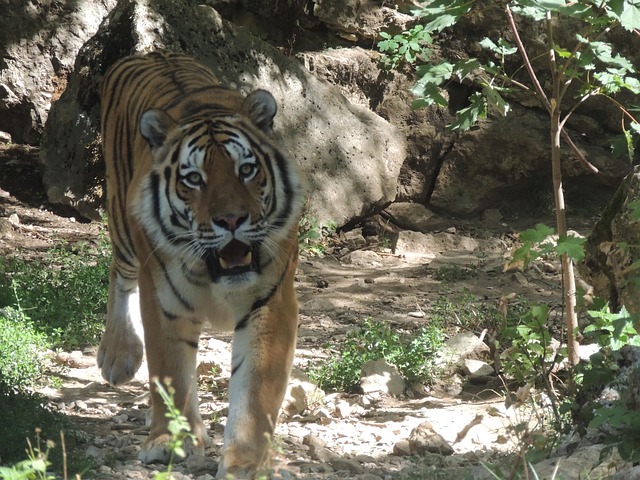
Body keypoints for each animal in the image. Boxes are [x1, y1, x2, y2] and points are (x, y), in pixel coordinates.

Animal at [97, 50, 304, 478]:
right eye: (193, 179)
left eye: (247, 170)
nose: (231, 220)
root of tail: (150, 53)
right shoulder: (162, 301)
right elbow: (170, 370)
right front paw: (169, 441)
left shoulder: (271, 303)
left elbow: (254, 391)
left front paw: (246, 462)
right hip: (123, 225)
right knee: (120, 275)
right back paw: (118, 354)